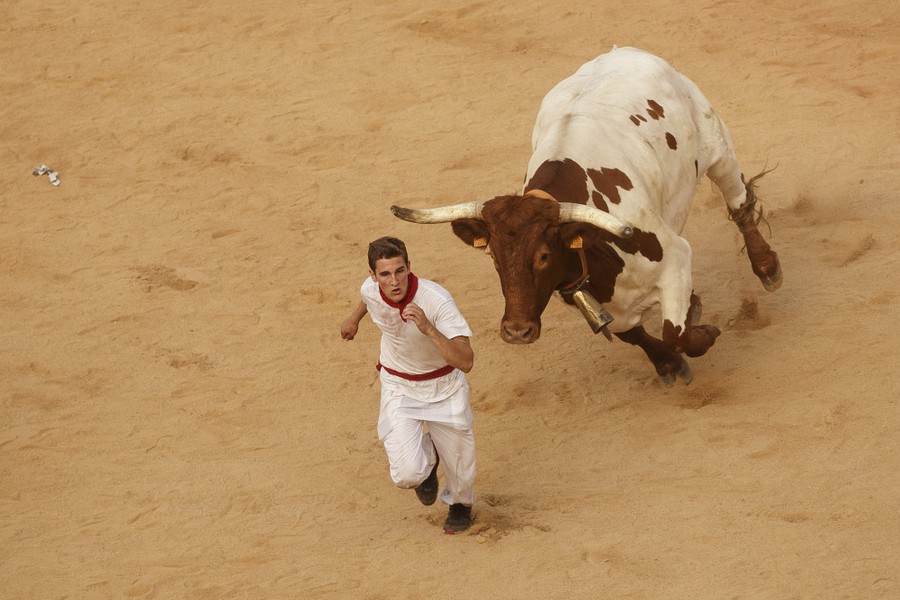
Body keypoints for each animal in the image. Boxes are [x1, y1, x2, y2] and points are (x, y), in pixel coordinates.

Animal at [391, 47, 782, 384]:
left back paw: (767, 266)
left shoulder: (674, 257)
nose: (516, 331)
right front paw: (668, 361)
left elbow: (676, 333)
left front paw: (704, 332)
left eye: (544, 255)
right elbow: (635, 334)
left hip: (716, 145)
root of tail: (623, 51)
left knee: (739, 203)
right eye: (493, 258)